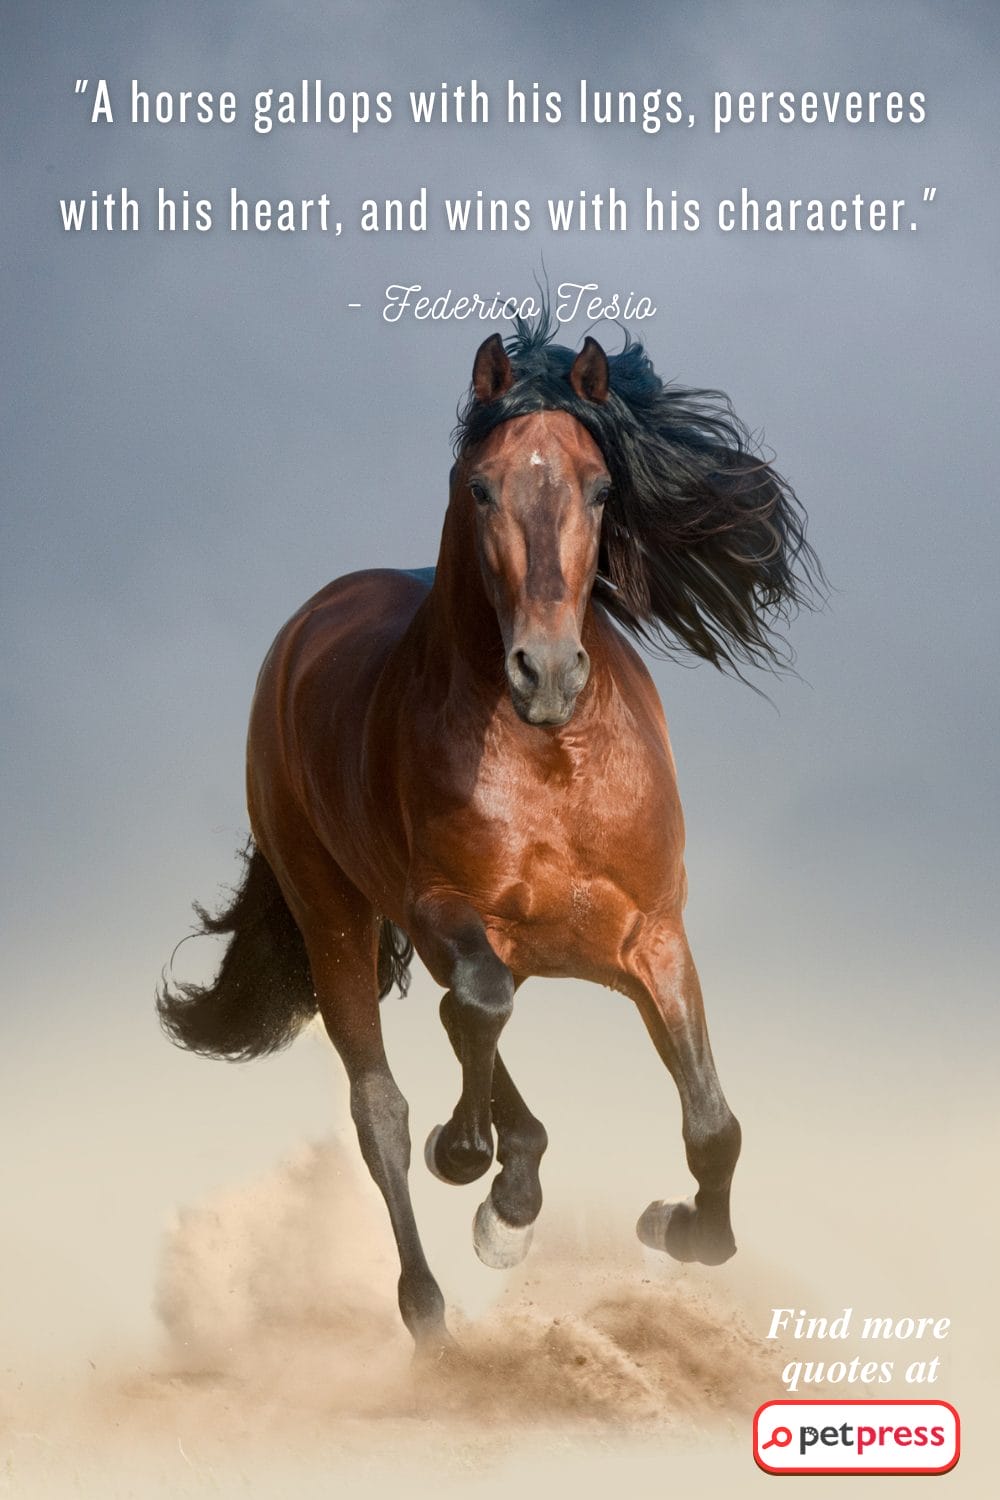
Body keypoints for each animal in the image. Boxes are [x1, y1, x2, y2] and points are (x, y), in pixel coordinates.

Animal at [158, 317, 820, 1352]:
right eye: (480, 486)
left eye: (600, 486)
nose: (544, 671)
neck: (551, 761)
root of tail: (307, 624)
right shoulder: (443, 909)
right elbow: (474, 1010)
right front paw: (472, 1165)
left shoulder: (655, 936)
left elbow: (714, 1127)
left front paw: (671, 1225)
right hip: (335, 915)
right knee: (384, 1102)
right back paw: (436, 1303)